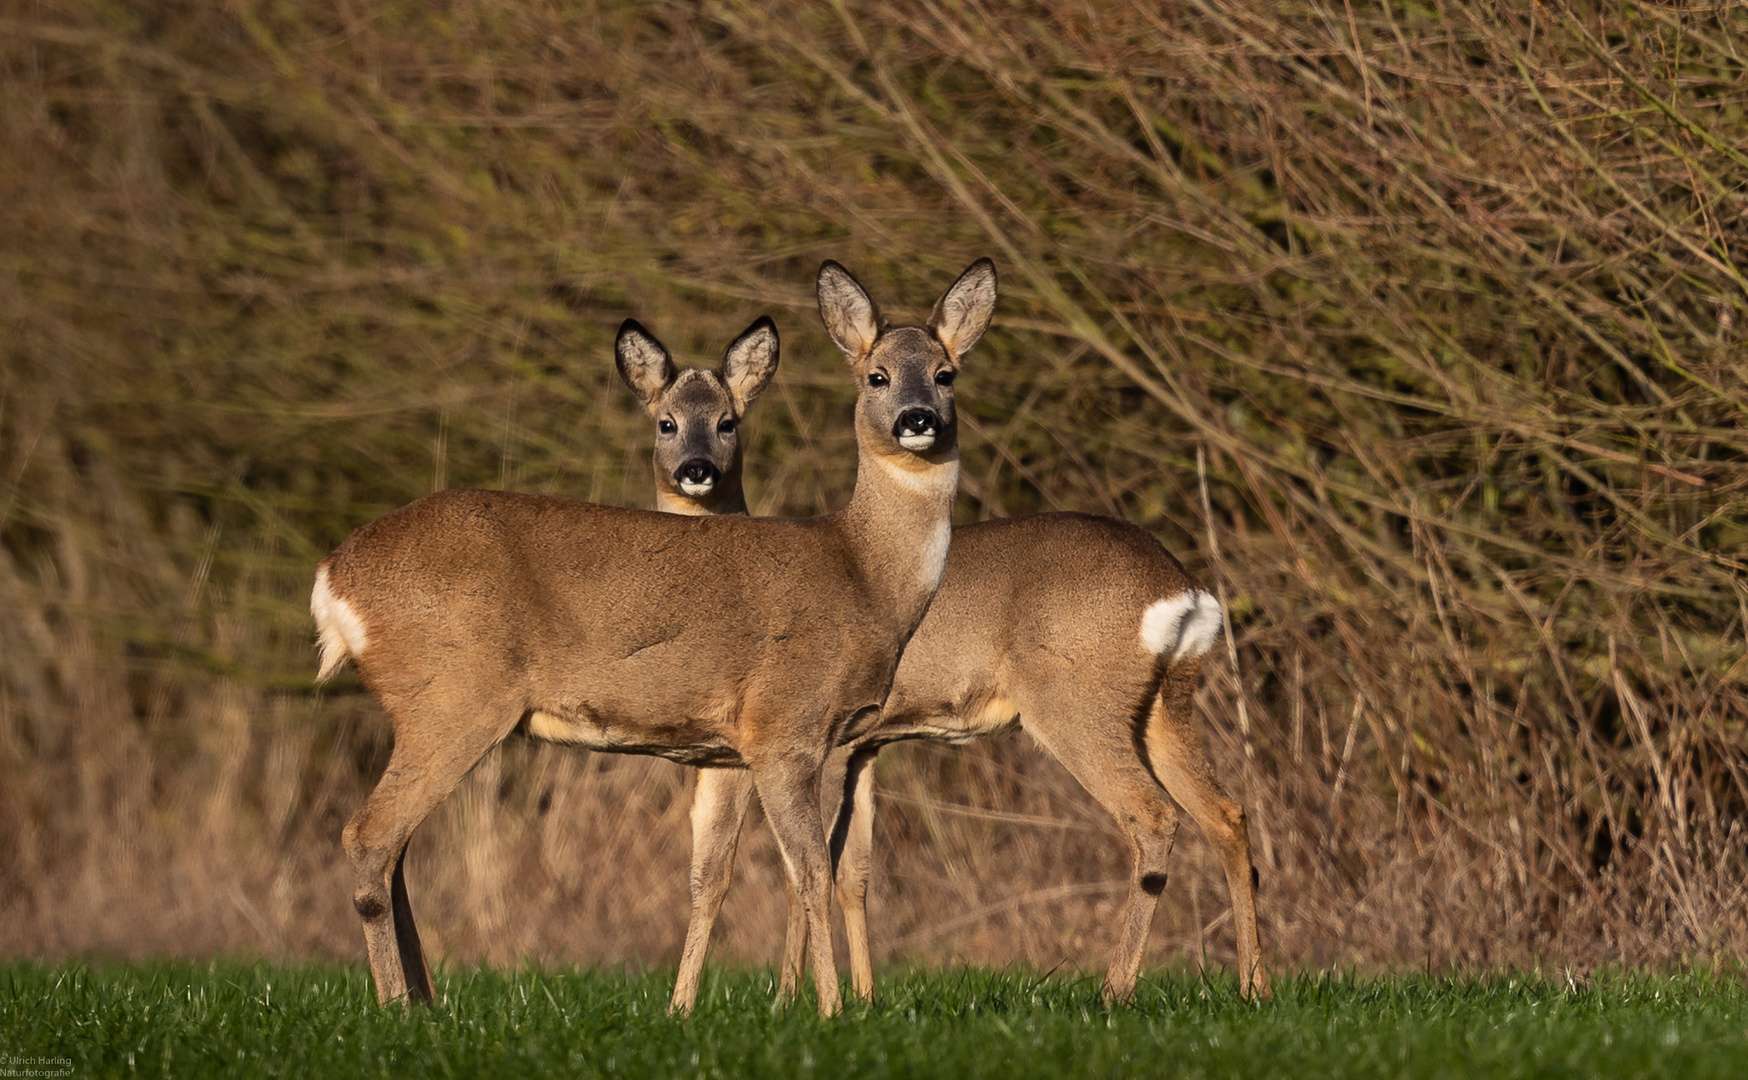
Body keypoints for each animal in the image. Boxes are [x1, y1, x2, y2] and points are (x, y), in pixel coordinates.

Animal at [311, 256, 999, 1013]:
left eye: (945, 374)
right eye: (876, 375)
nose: (917, 419)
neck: (861, 573)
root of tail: (334, 577)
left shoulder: (730, 749)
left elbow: (719, 873)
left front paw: (691, 1008)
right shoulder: (784, 726)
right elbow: (812, 875)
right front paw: (829, 1011)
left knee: (395, 847)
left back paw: (424, 1002)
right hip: (453, 694)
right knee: (368, 837)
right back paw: (396, 1006)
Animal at [643, 269, 1272, 1006]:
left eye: (727, 422)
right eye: (877, 375)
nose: (694, 469)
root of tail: (1178, 587)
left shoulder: (813, 732)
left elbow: (801, 865)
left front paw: (789, 999)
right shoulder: (867, 741)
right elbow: (850, 868)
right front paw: (861, 997)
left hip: (1075, 702)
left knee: (1153, 817)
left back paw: (1114, 991)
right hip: (1165, 705)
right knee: (1227, 813)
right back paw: (1254, 987)